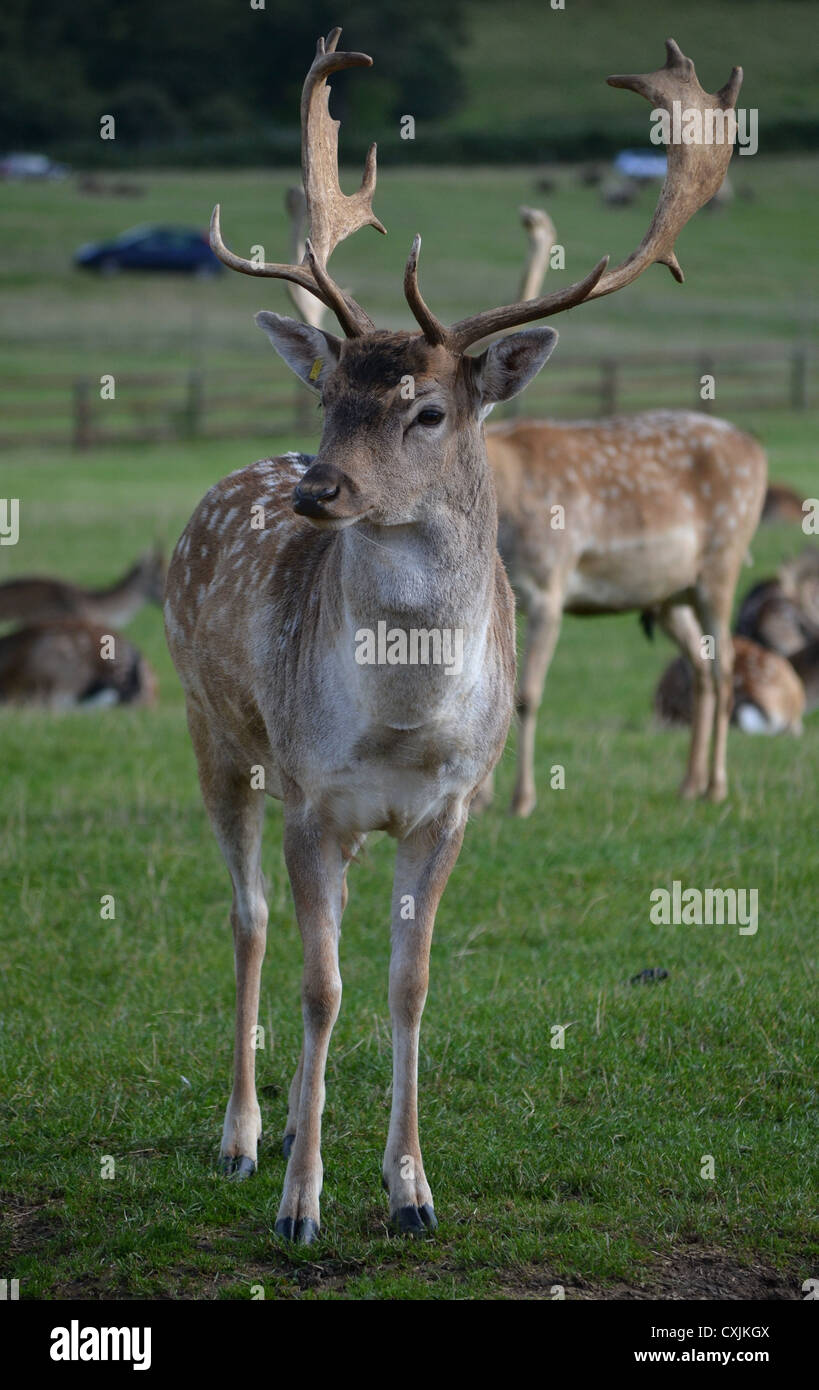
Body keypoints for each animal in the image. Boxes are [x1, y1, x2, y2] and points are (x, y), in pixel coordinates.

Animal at [164, 29, 742, 1242]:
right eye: (330, 393)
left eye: (428, 410)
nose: (319, 488)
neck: (403, 721)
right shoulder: (315, 797)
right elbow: (321, 983)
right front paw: (301, 1205)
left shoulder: (447, 808)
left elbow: (407, 983)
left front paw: (410, 1190)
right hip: (216, 731)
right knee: (247, 918)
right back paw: (244, 1136)